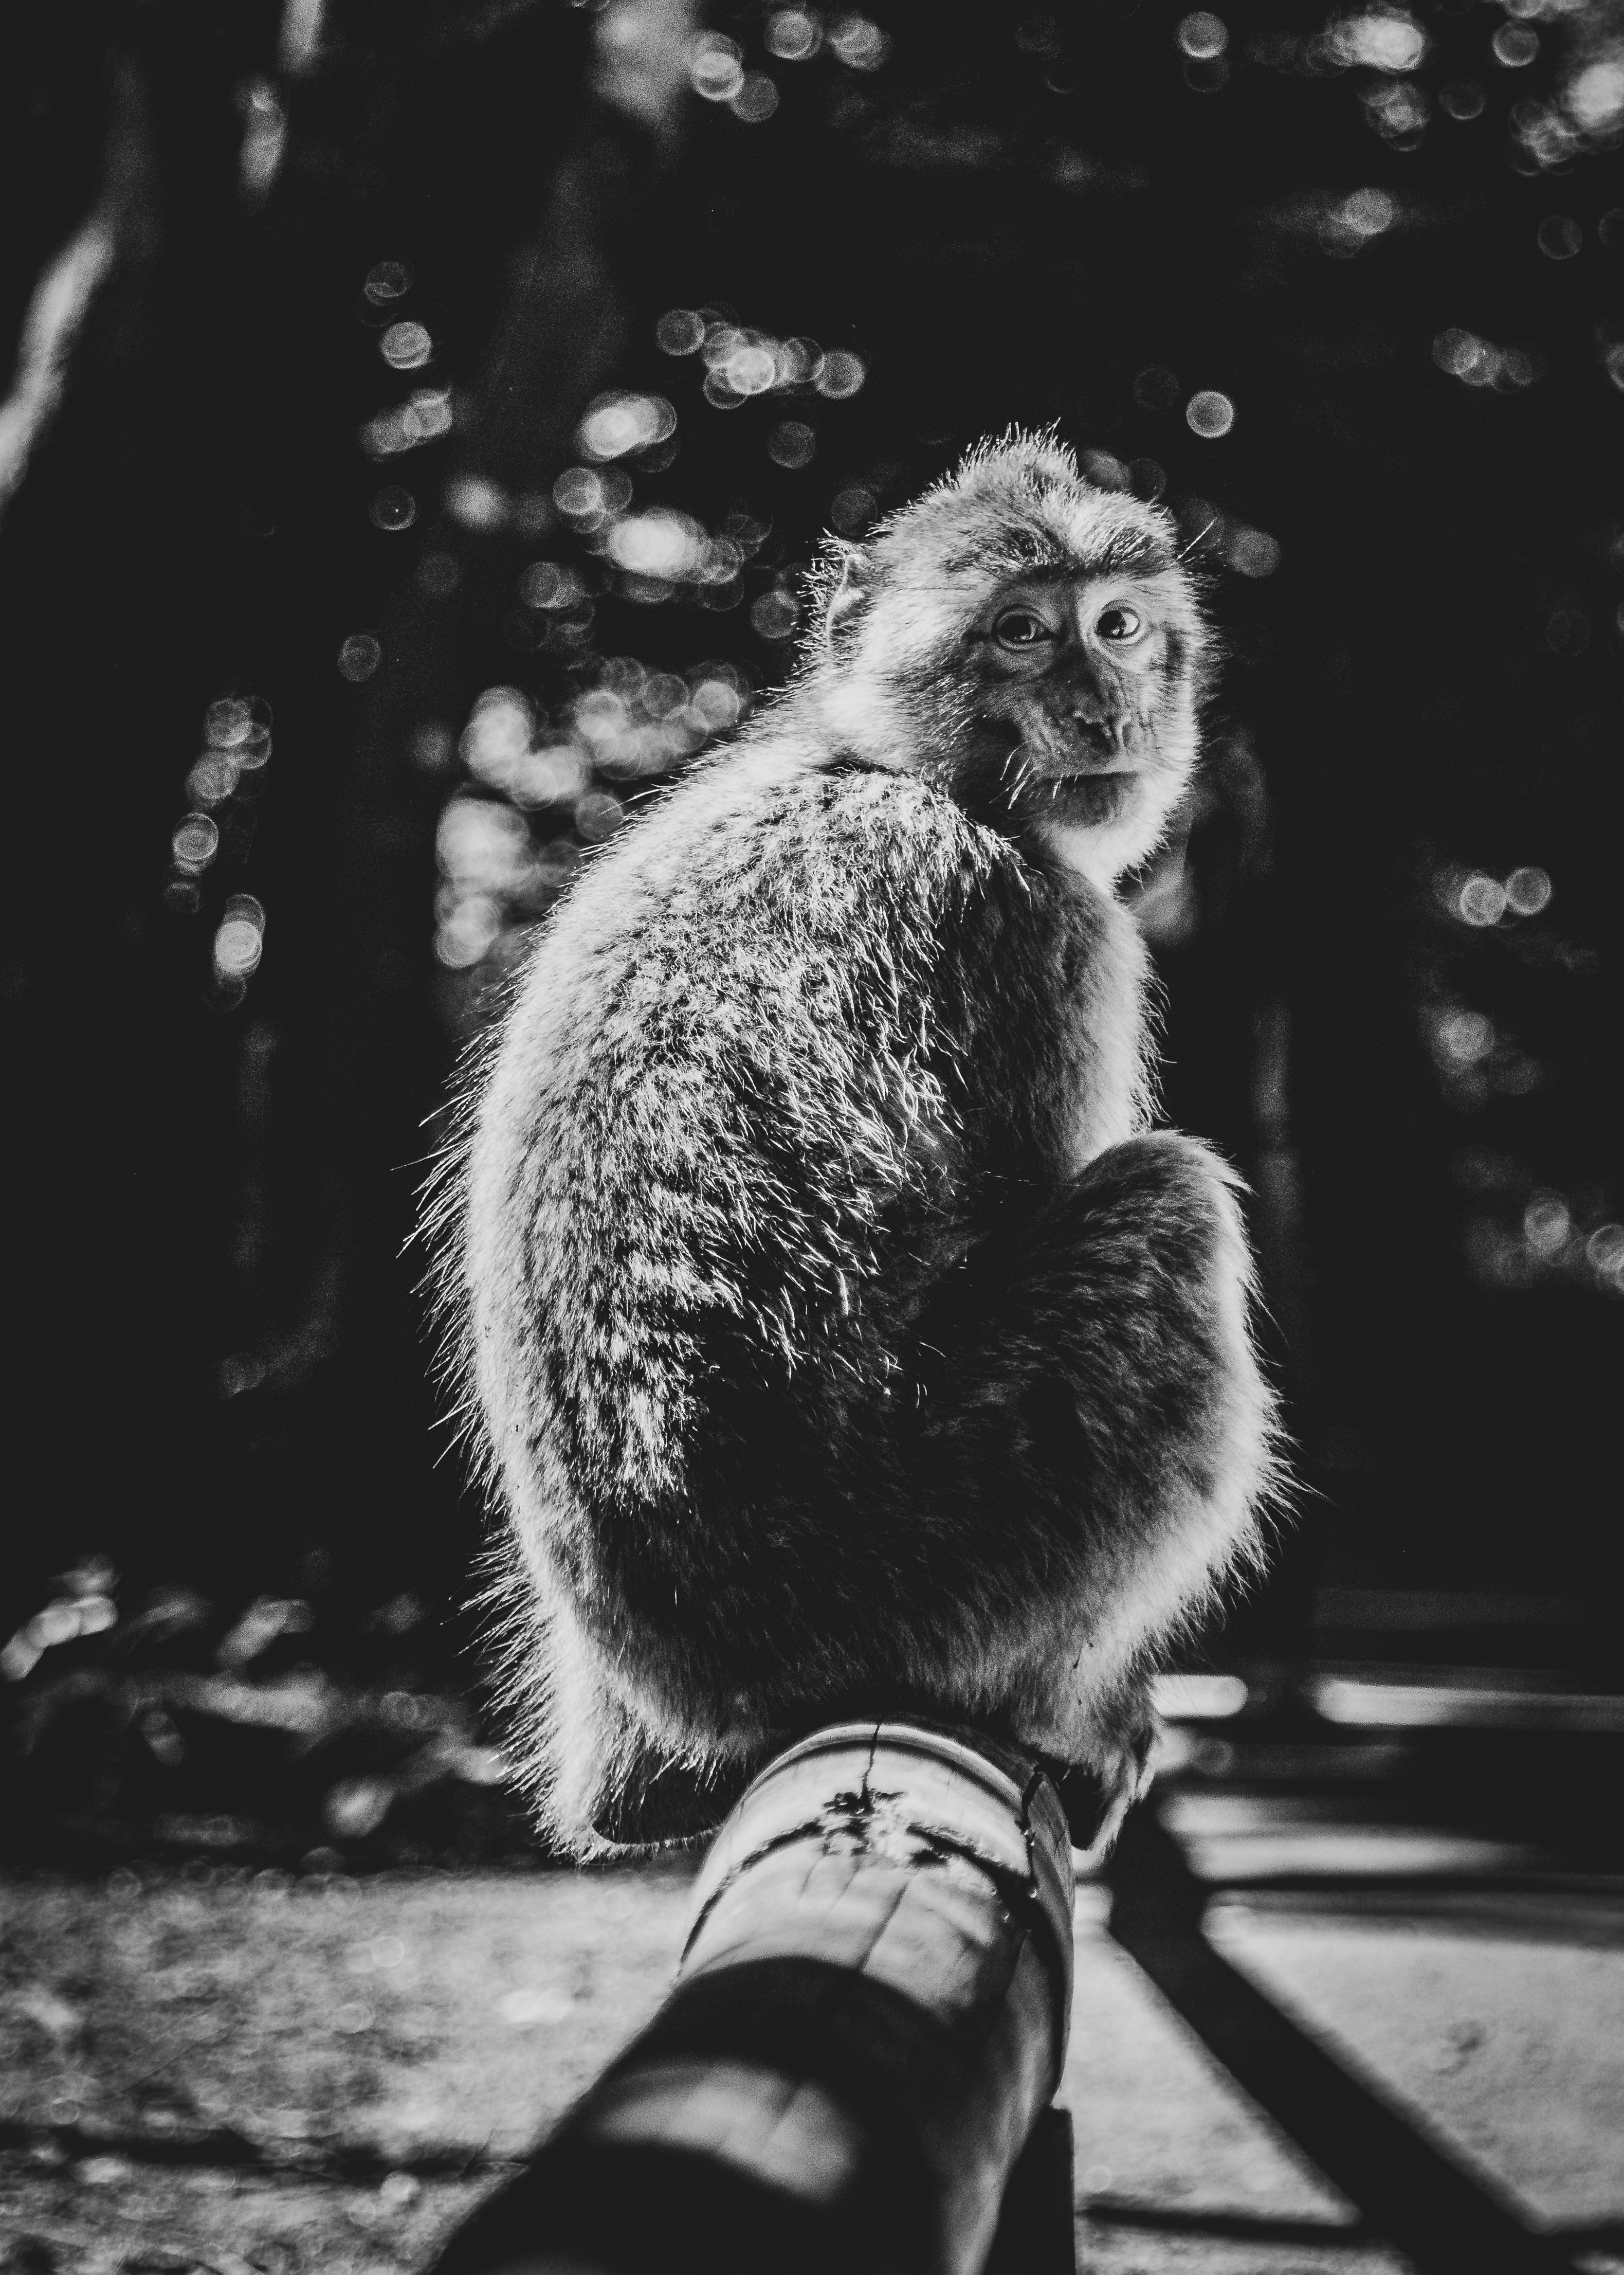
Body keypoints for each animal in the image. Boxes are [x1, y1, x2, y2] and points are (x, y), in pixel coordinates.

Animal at [429, 433, 1283, 1856]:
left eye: (1114, 626)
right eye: (1018, 633)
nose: (1105, 714)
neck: (886, 769)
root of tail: (699, 1686)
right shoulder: (1035, 925)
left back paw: (637, 1788)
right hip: (928, 1568)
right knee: (1168, 1205)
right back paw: (1054, 1715)